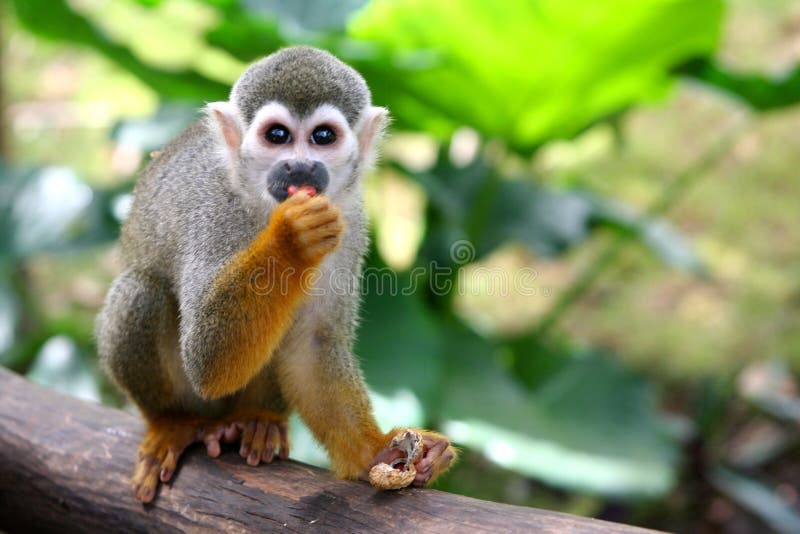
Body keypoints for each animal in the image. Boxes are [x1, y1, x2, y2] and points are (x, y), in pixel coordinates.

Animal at [95, 46, 456, 503]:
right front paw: (291, 240)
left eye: (323, 137)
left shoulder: (352, 221)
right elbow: (207, 358)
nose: (299, 167)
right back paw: (170, 422)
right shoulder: (212, 211)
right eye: (278, 135)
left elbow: (312, 344)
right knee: (141, 290)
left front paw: (379, 453)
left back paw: (256, 418)